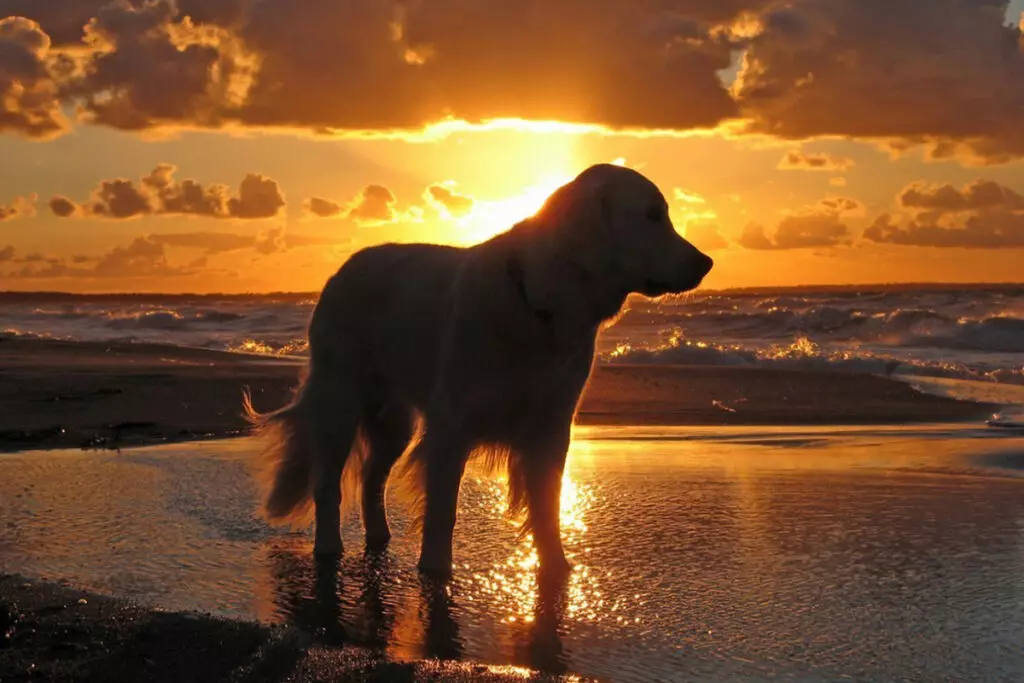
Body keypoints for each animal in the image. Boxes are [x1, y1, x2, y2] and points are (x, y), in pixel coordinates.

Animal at [245, 162, 712, 581]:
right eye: (652, 215)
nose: (706, 262)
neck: (538, 304)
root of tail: (340, 272)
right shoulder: (452, 428)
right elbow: (443, 512)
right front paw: (436, 572)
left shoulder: (551, 427)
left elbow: (548, 506)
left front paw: (557, 570)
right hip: (339, 402)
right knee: (328, 483)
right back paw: (329, 550)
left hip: (393, 420)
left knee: (373, 478)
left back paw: (379, 539)